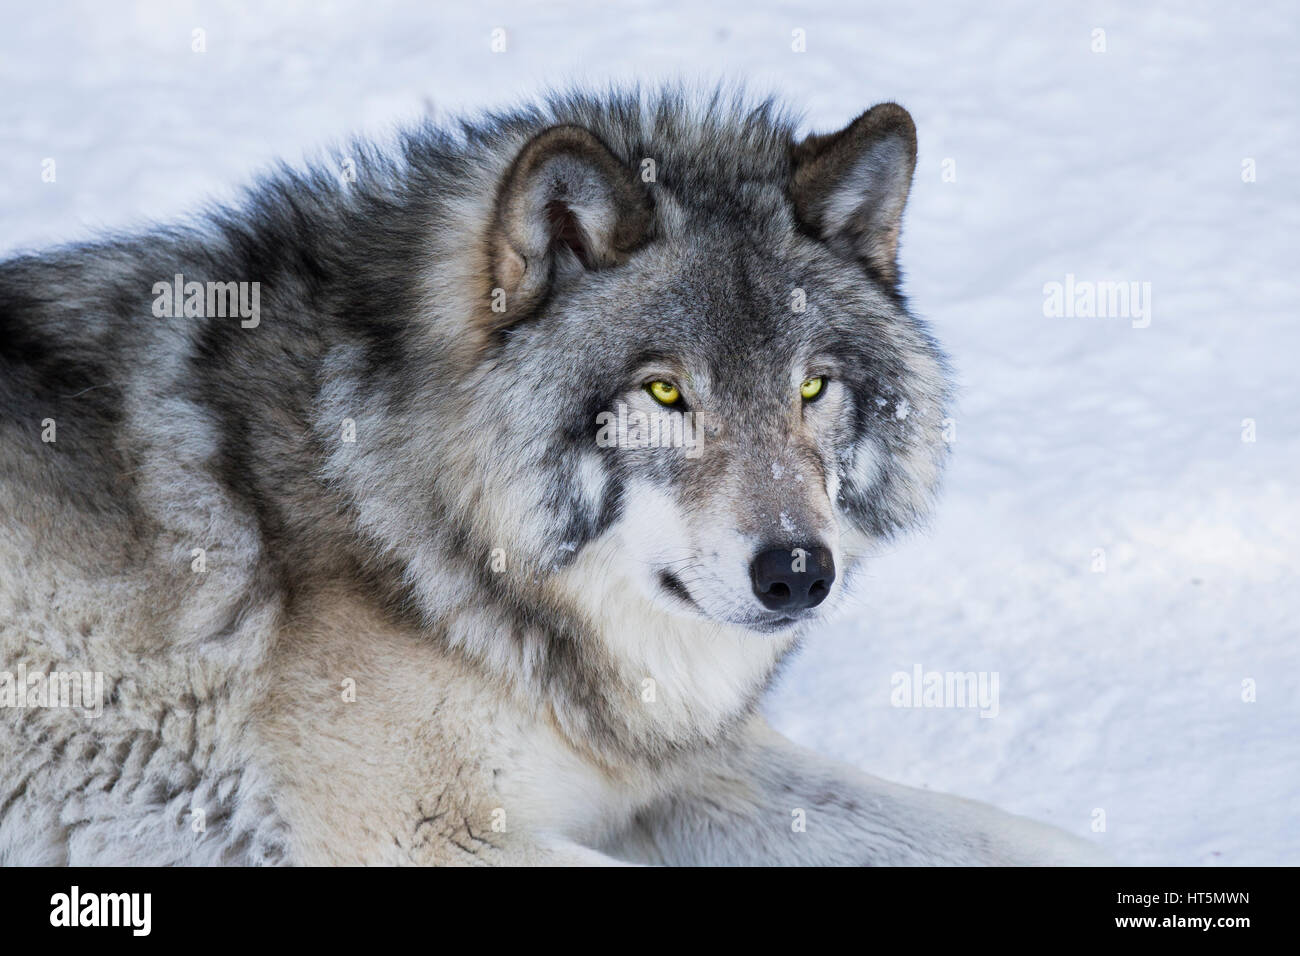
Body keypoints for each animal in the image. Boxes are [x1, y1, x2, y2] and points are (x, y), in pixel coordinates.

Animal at [0, 87, 1104, 865]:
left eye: (812, 387)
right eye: (664, 392)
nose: (797, 572)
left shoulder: (684, 774)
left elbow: (1033, 839)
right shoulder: (418, 833)